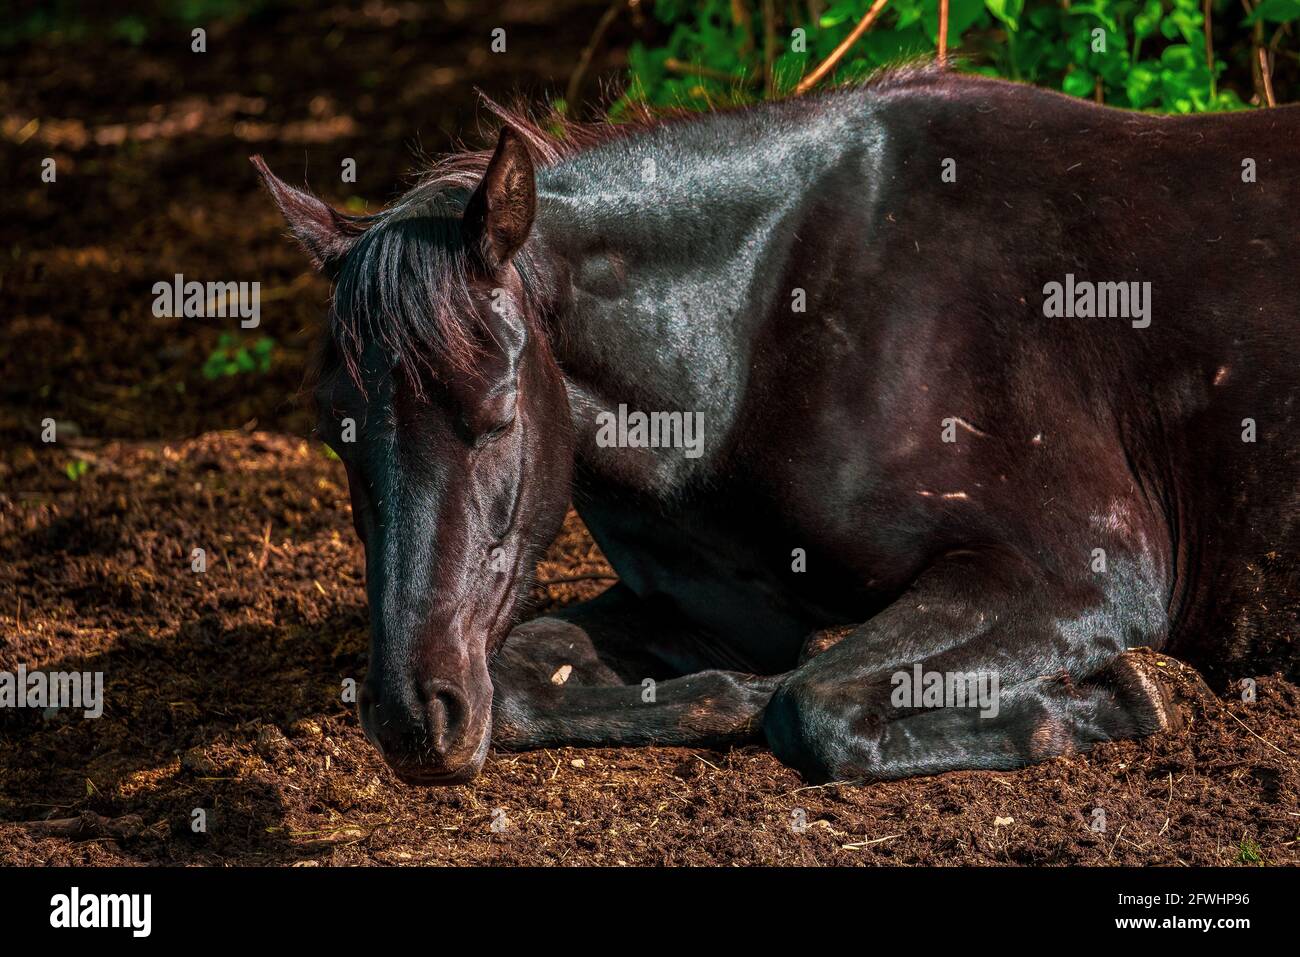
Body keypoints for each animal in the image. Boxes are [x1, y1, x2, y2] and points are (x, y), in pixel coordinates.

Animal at [254, 64, 1299, 785]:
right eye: (335, 427)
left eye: (500, 410)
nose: (409, 720)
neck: (757, 334)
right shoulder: (708, 612)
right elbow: (524, 680)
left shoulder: (1078, 570)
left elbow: (815, 705)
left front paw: (1114, 699)